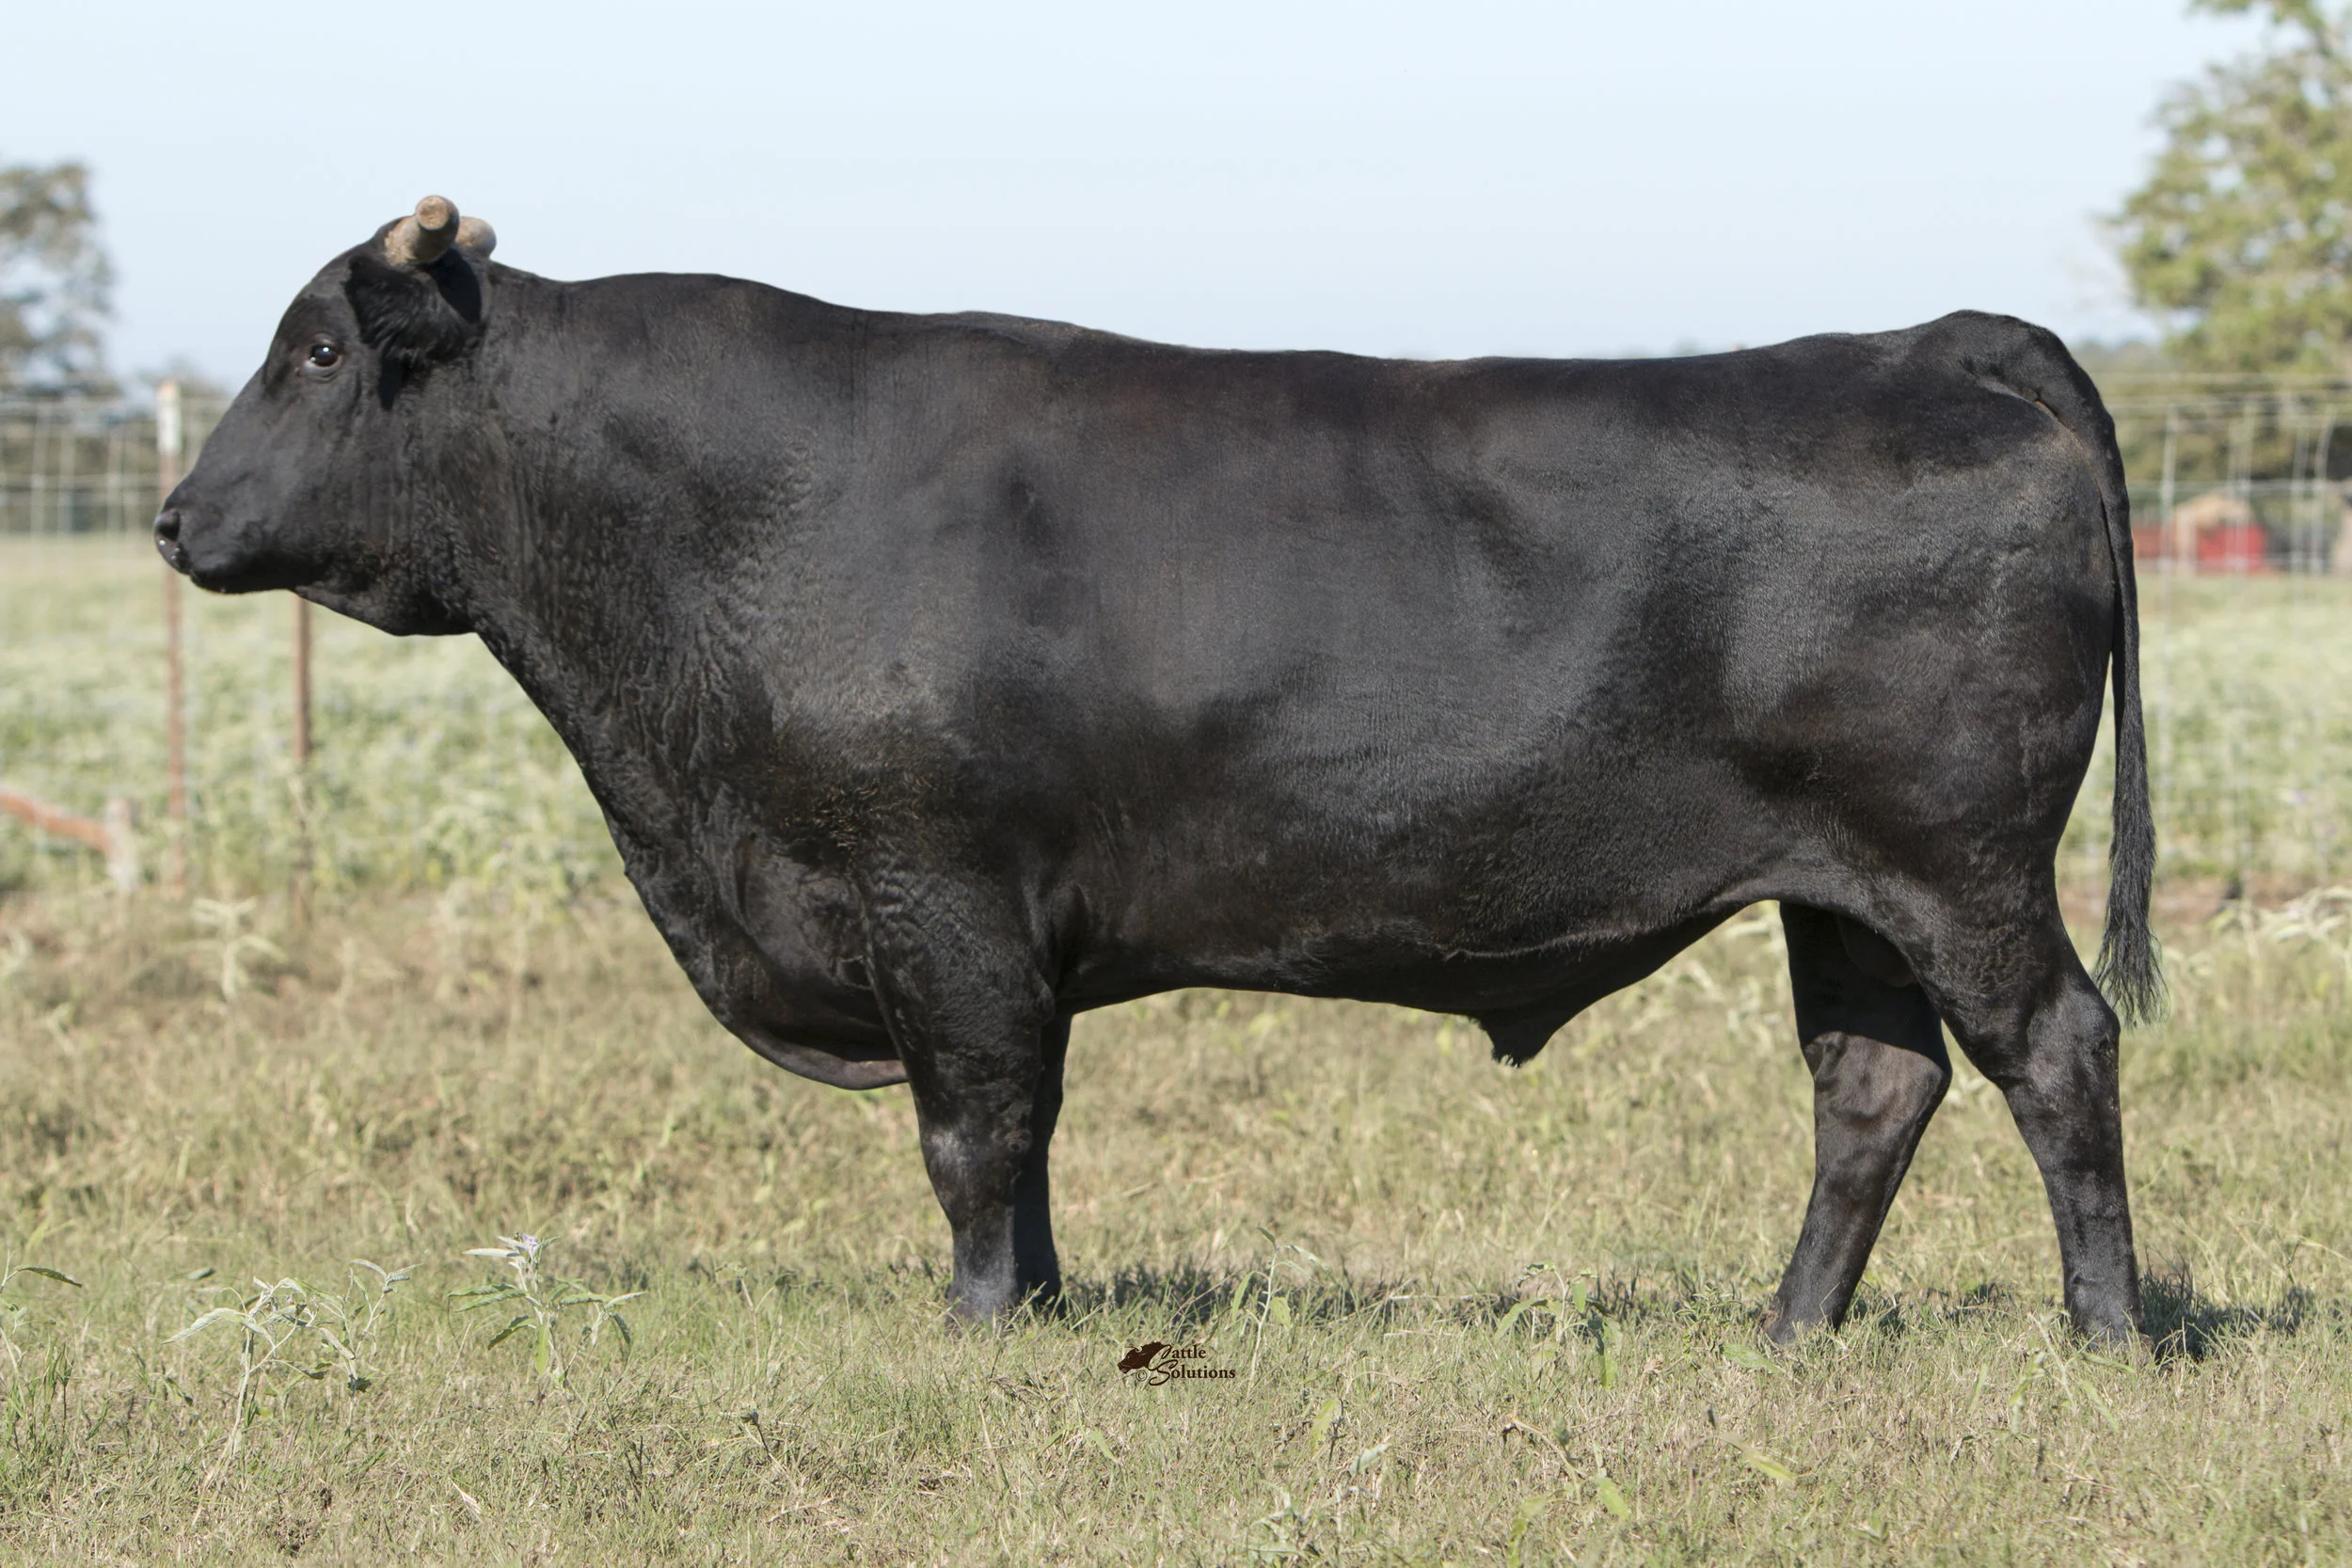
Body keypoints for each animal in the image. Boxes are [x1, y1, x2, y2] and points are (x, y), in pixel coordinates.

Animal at [157, 197, 2160, 1344]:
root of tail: (1927, 342)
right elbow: (1024, 1128)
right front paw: (1042, 1312)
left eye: (317, 348)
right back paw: (1789, 1330)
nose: (175, 517)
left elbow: (975, 1125)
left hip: (1960, 861)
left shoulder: (939, 892)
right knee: (1874, 1087)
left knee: (2056, 1052)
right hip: (1846, 890)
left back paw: (2108, 1332)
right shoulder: (983, 925)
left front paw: (976, 1329)